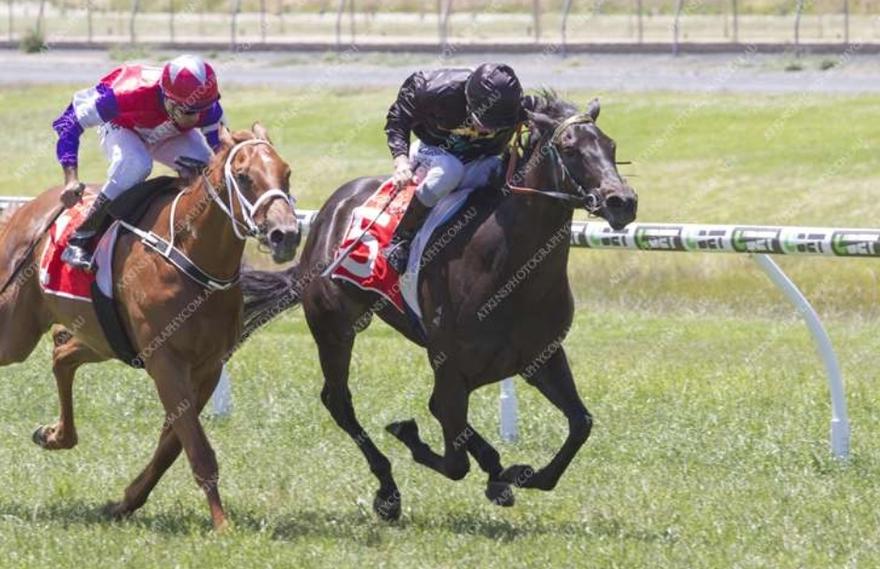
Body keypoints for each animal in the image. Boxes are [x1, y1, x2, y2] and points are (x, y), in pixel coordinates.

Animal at [0, 124, 300, 530]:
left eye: (286, 173)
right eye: (243, 176)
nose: (286, 234)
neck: (187, 254)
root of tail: (26, 211)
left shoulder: (207, 366)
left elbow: (172, 445)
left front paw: (125, 501)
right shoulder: (165, 360)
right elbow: (196, 447)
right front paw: (223, 525)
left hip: (100, 337)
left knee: (62, 353)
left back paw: (56, 435)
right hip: (15, 330)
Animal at [240, 93, 637, 521]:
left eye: (611, 145)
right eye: (569, 148)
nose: (623, 202)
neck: (510, 267)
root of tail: (327, 216)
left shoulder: (540, 356)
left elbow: (580, 424)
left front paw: (519, 474)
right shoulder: (449, 364)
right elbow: (453, 457)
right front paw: (414, 439)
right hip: (334, 327)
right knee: (339, 402)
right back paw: (388, 490)